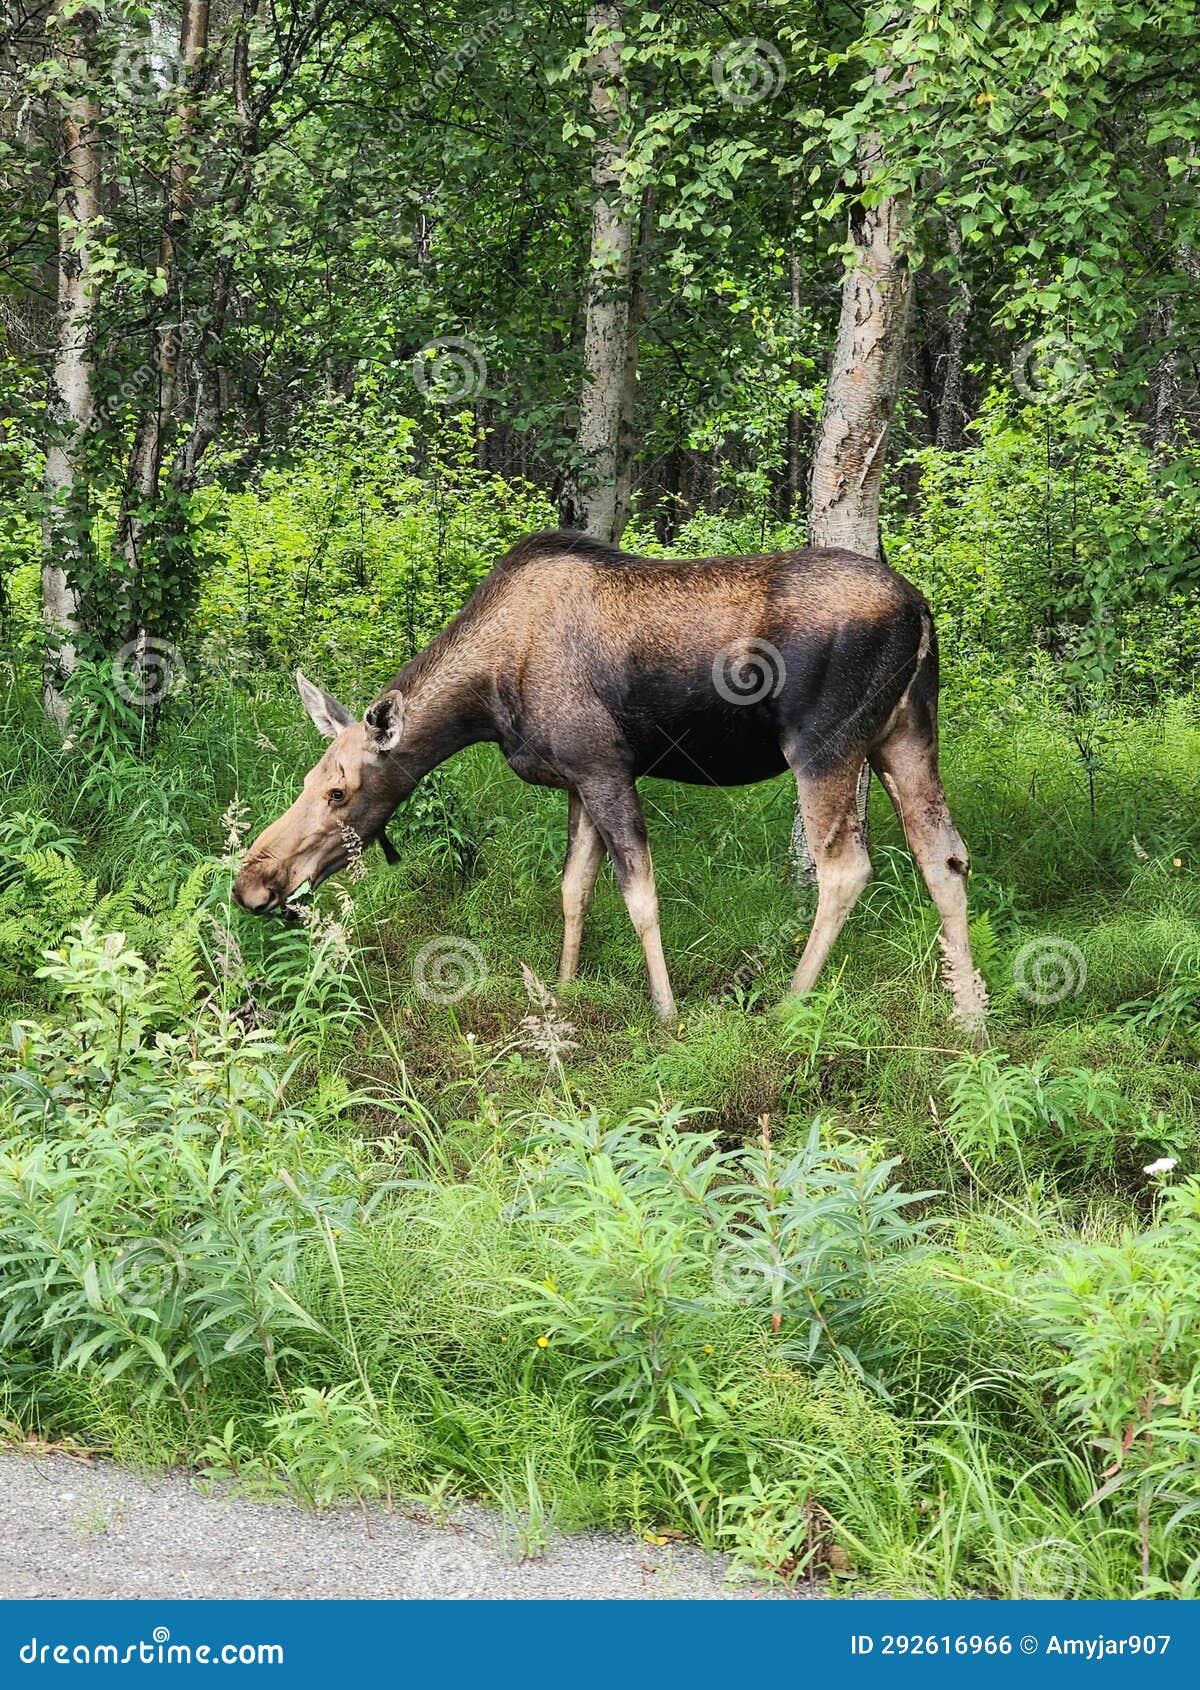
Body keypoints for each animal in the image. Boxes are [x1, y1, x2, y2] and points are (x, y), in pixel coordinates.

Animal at [233, 530, 987, 1034]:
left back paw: (791, 1004)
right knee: (944, 856)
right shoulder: (575, 780)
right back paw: (969, 1016)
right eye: (309, 780)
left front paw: (666, 1011)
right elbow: (574, 888)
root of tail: (922, 611)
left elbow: (639, 895)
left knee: (846, 868)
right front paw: (566, 987)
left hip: (825, 745)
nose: (252, 883)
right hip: (906, 735)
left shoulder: (604, 766)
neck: (486, 700)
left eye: (339, 792)